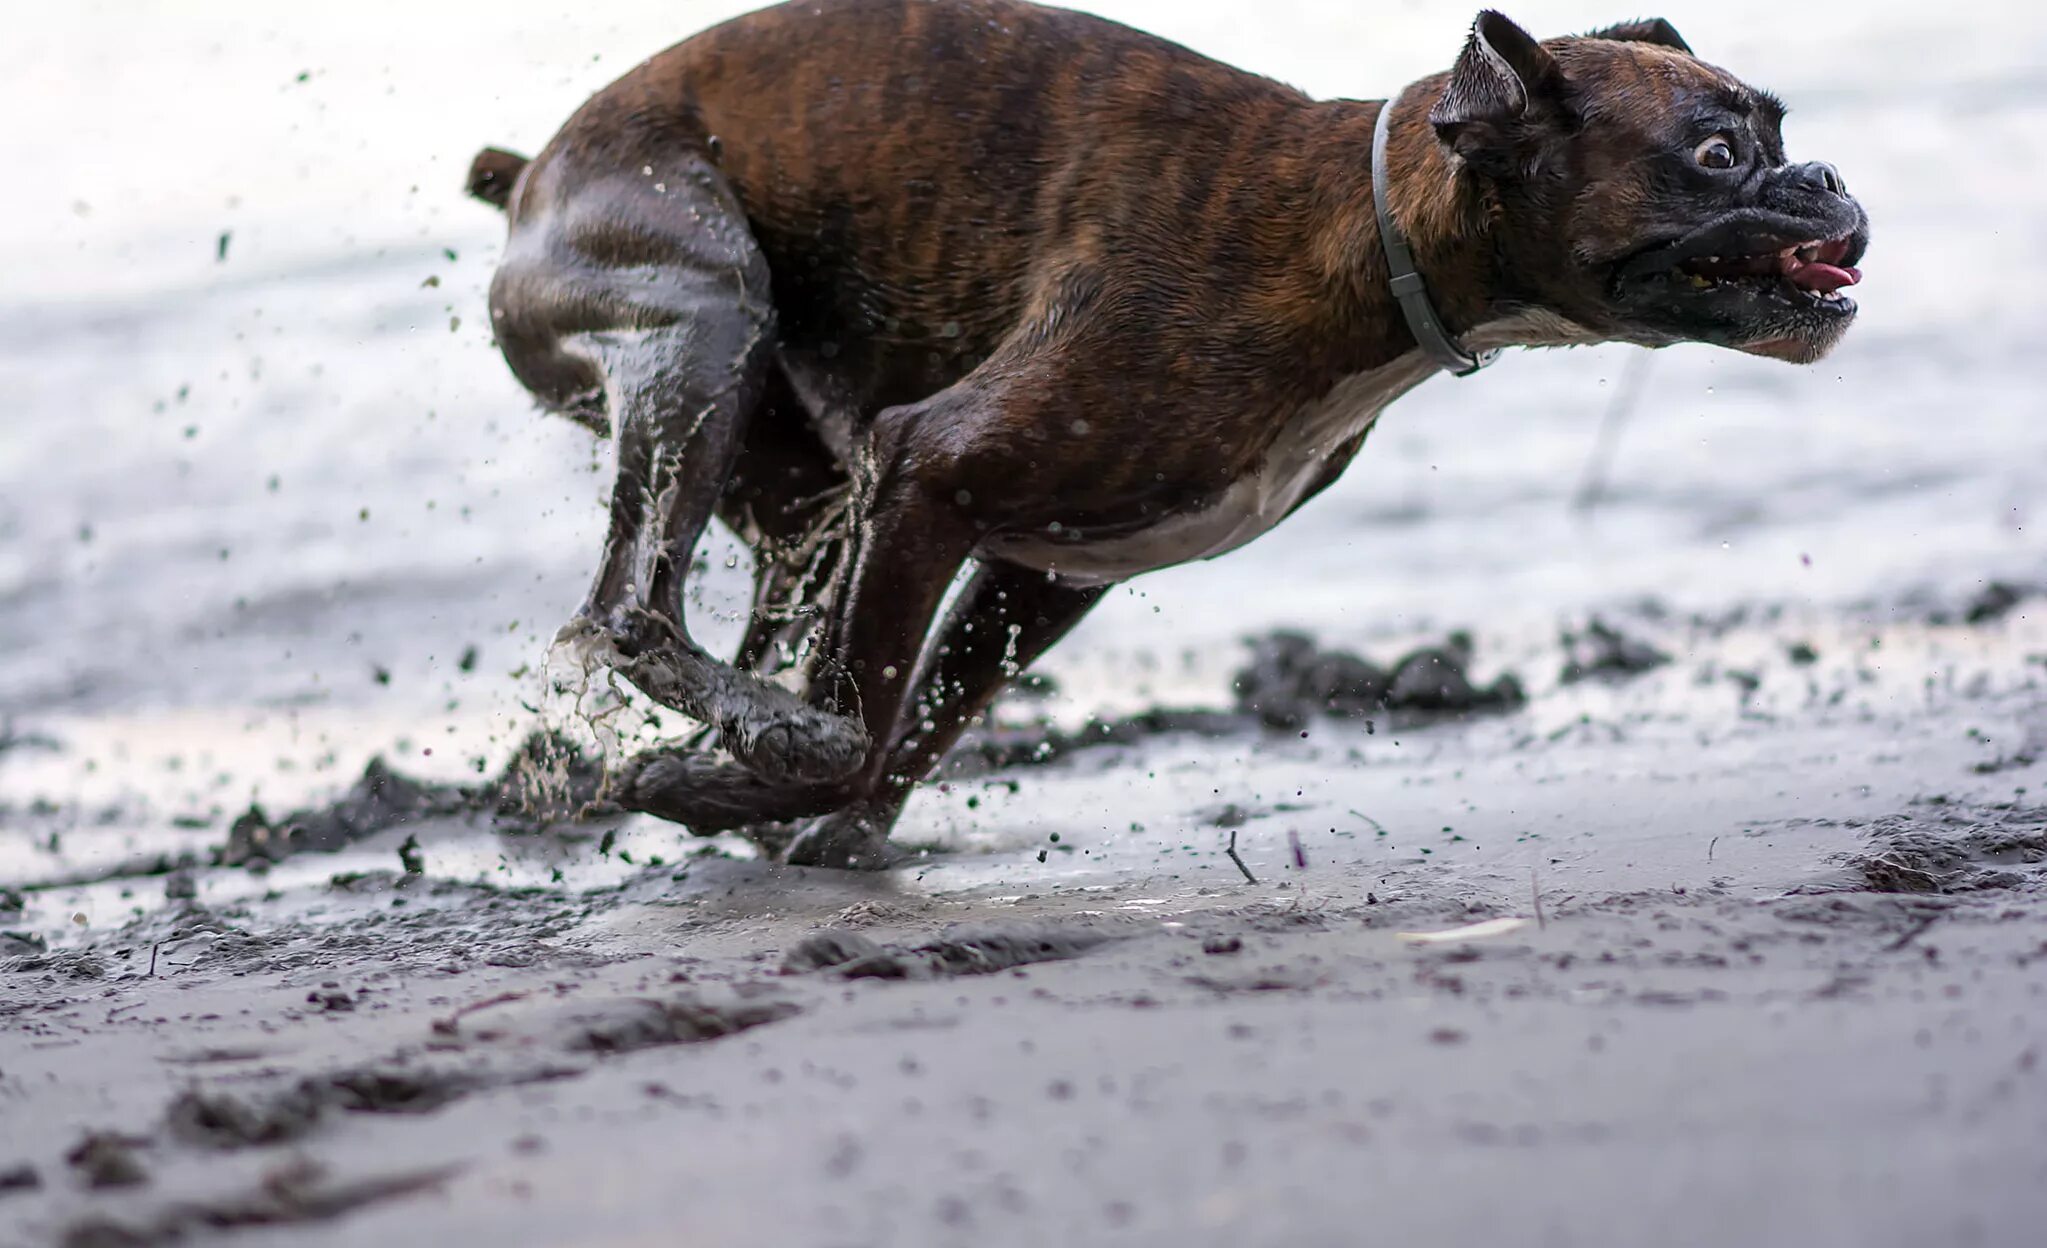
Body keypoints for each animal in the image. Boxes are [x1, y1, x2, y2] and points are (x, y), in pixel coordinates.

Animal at [468, 0, 1875, 863]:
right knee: (630, 610)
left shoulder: (1039, 565)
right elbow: (866, 719)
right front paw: (734, 786)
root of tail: (532, 174)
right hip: (702, 304)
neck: (1355, 232)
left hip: (802, 491)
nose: (1829, 181)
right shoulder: (928, 474)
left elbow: (911, 726)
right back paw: (757, 728)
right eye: (1715, 152)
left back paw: (745, 737)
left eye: (1781, 130)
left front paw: (778, 817)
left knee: (741, 618)